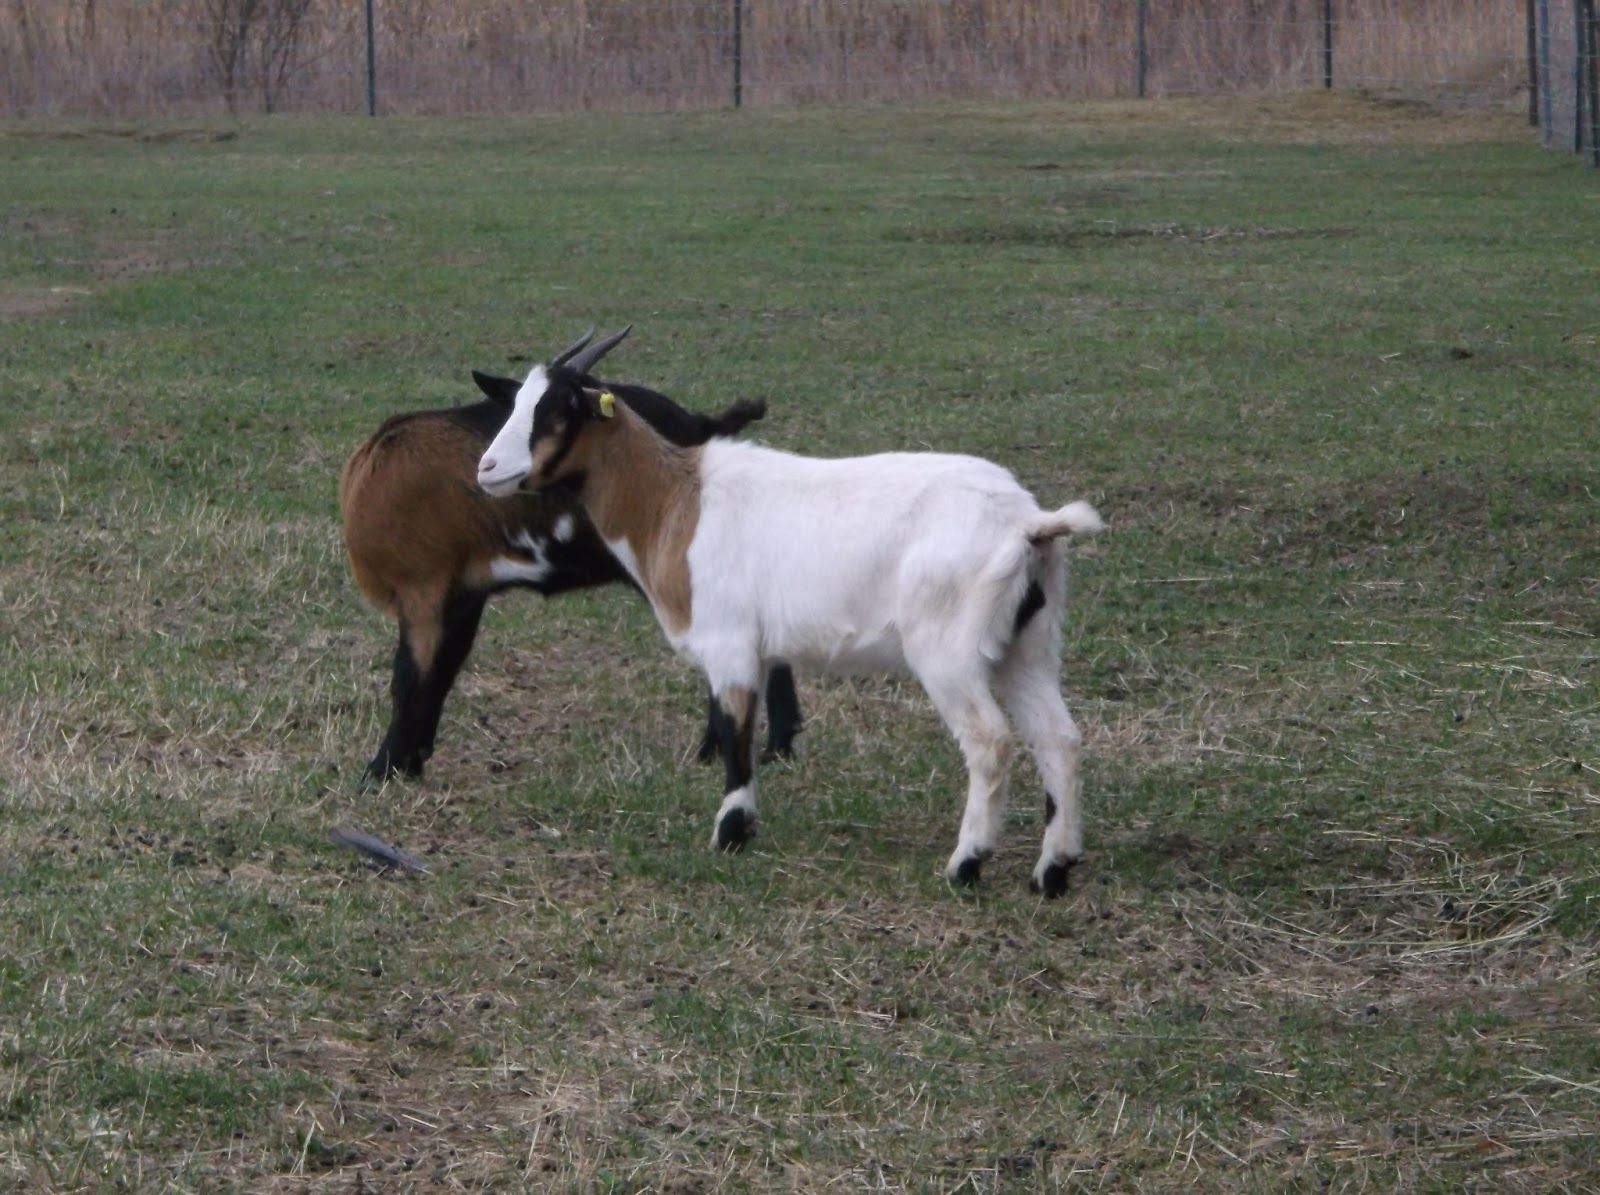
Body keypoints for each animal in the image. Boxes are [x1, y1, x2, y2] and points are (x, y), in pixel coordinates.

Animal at [339, 330, 801, 783]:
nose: (489, 467)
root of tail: (699, 426)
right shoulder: (462, 592)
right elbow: (441, 671)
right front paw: (410, 761)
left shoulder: (421, 585)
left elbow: (410, 675)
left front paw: (381, 770)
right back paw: (761, 745)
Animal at [476, 327, 1102, 896]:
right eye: (518, 400)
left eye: (558, 408)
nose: (486, 469)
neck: (677, 503)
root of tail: (1028, 523)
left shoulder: (729, 643)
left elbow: (734, 733)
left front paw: (730, 833)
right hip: (1029, 645)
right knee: (1060, 740)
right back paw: (1052, 871)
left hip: (949, 649)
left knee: (990, 742)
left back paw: (966, 865)